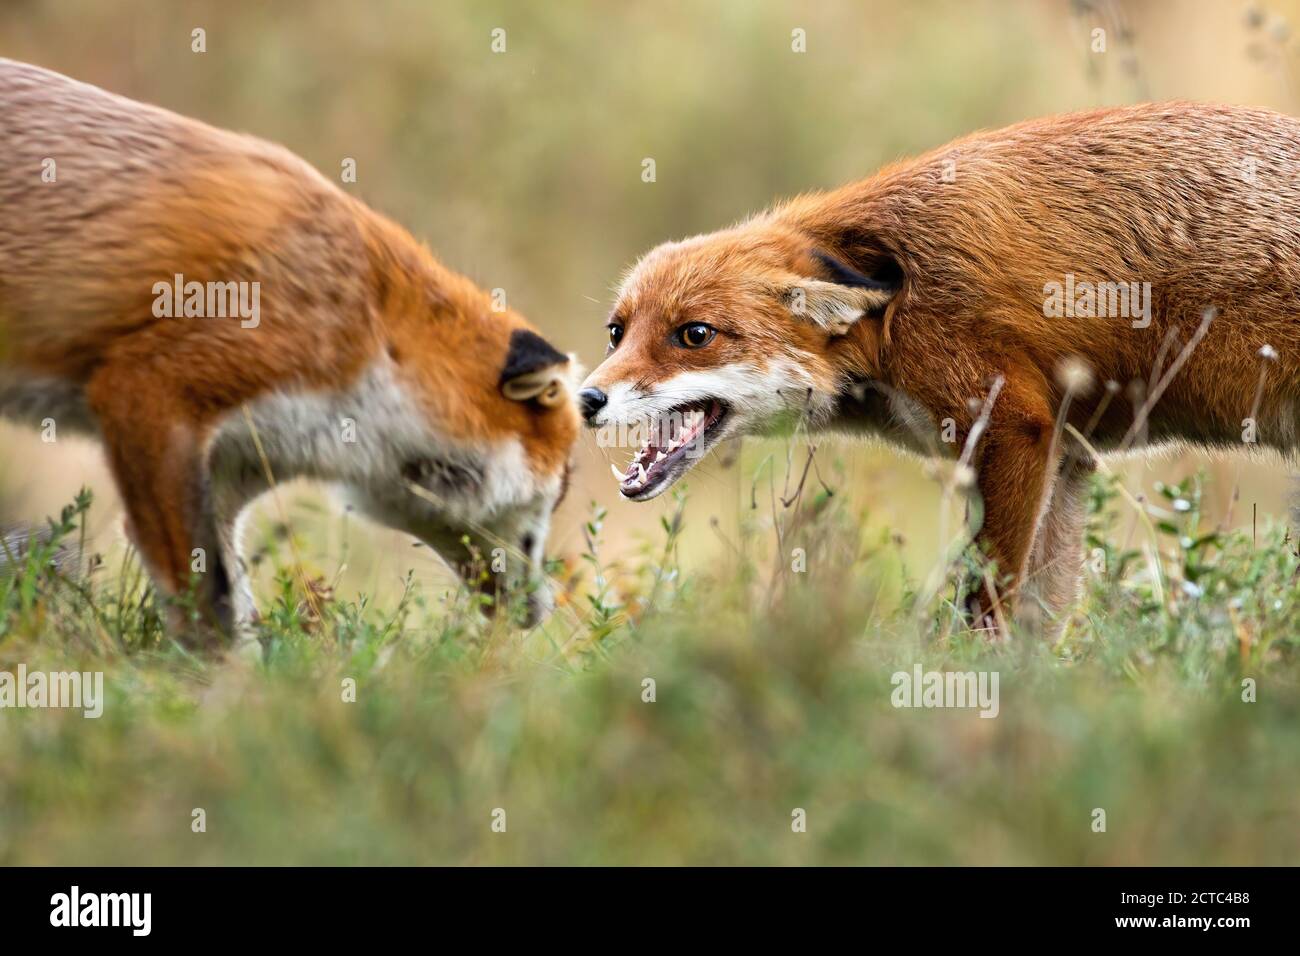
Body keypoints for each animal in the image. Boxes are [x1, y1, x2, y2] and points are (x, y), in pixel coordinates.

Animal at [0, 58, 581, 644]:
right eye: (560, 490)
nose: (539, 612)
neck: (373, 331)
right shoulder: (146, 393)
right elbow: (208, 606)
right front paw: (217, 672)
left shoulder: (230, 470)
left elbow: (235, 603)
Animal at [578, 102, 1300, 632]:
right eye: (617, 332)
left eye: (694, 335)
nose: (586, 399)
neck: (894, 310)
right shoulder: (1068, 455)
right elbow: (1043, 619)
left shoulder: (1012, 428)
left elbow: (987, 607)